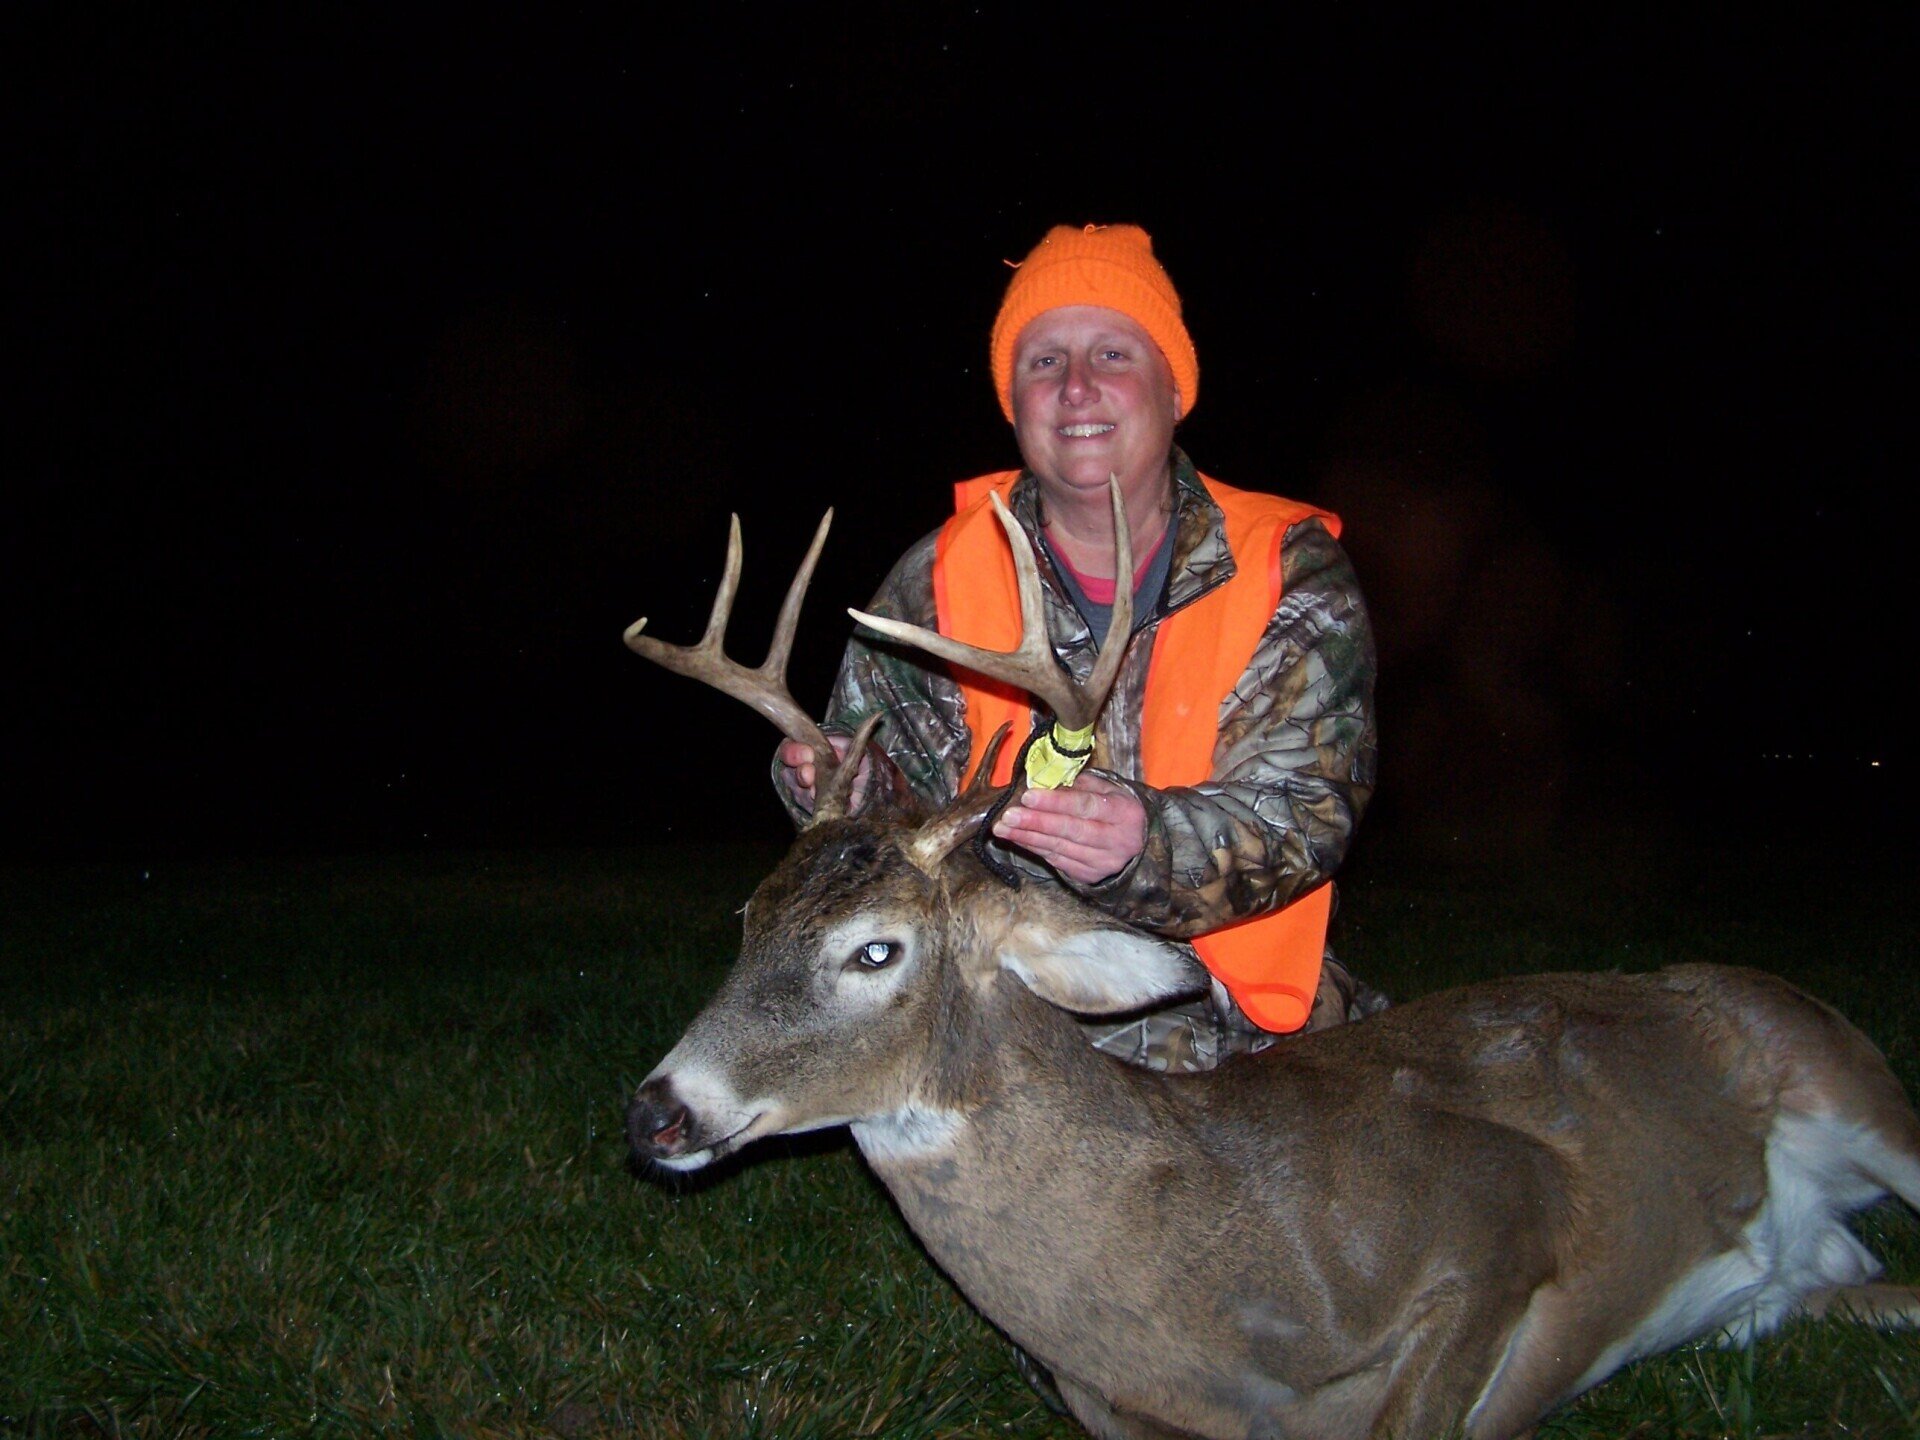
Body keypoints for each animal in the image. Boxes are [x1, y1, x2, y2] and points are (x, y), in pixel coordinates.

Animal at [622, 486, 1920, 1440]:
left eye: (876, 949)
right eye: (749, 917)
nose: (657, 1114)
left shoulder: (1505, 1210)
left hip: (1846, 1071)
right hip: (1822, 1259)